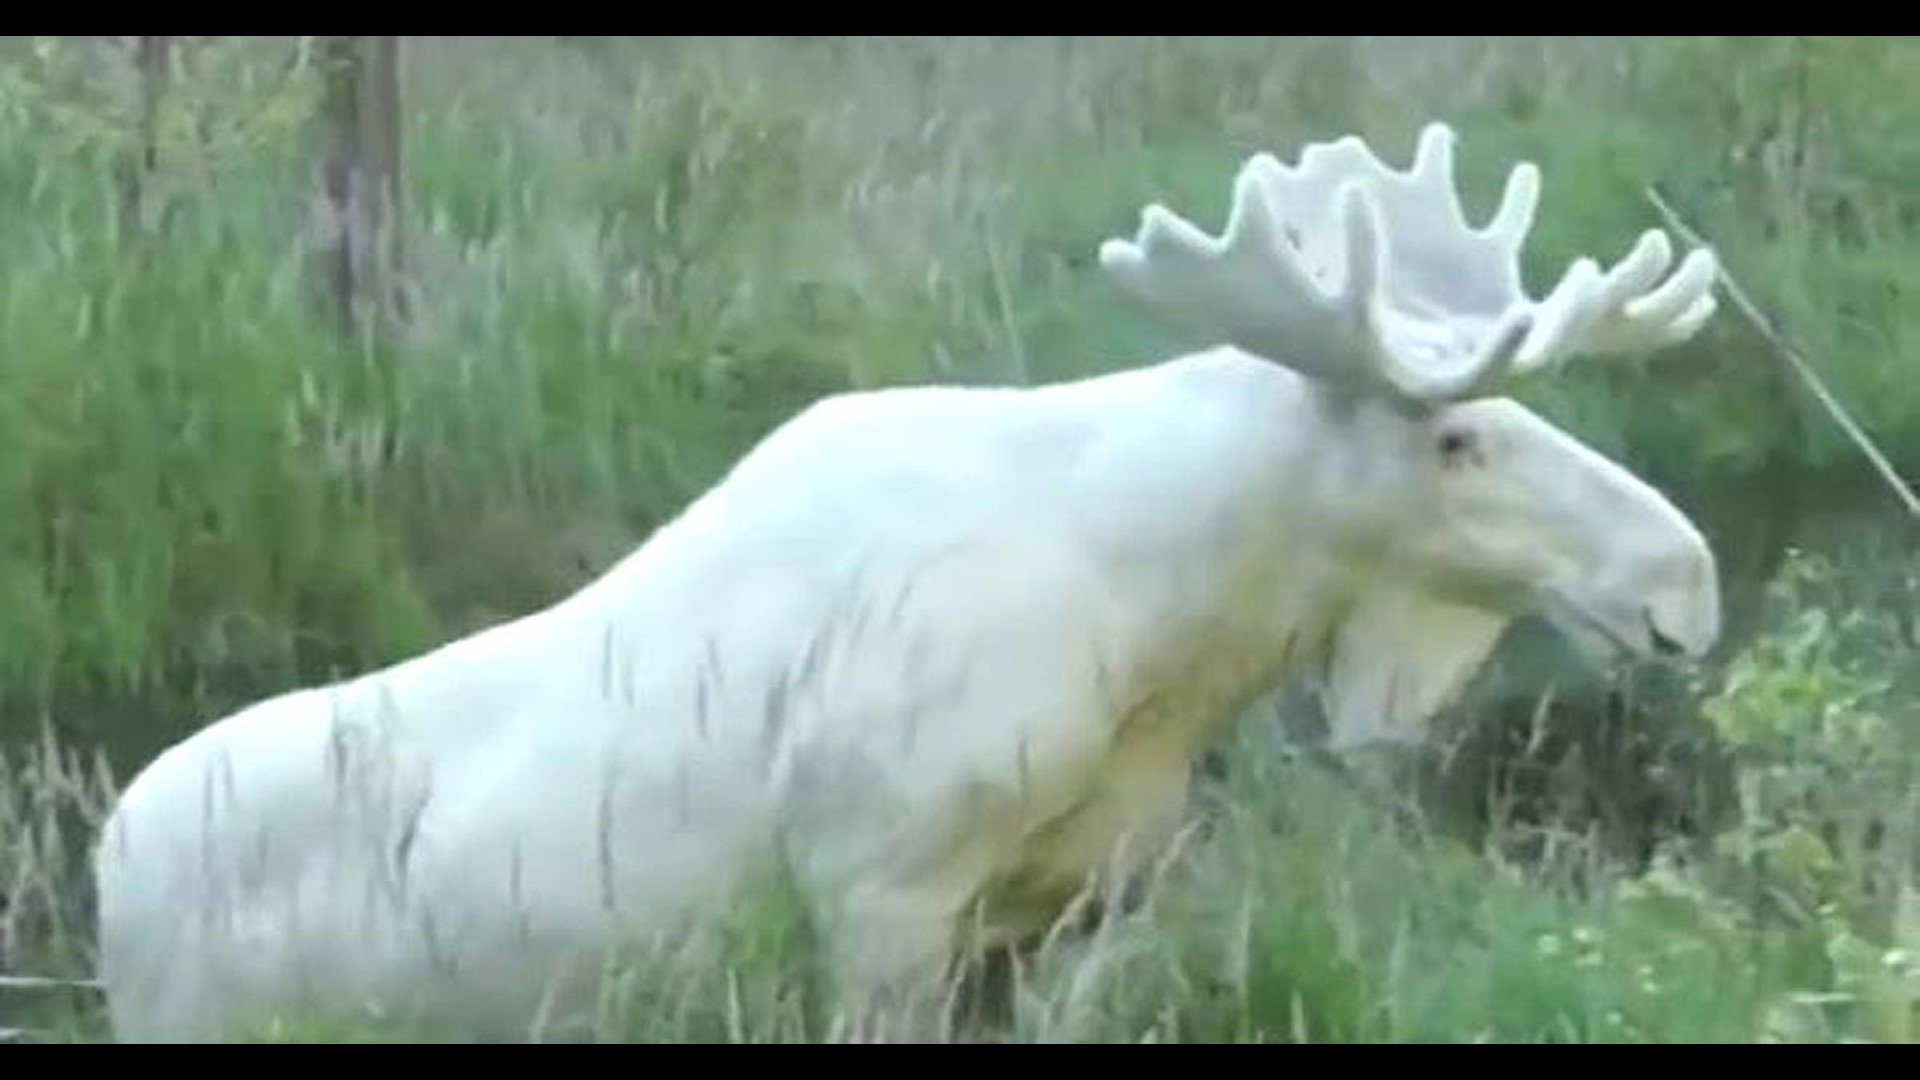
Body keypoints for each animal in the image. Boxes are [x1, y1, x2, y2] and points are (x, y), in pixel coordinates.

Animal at [90, 121, 1722, 1042]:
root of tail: (104, 865)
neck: (1166, 638)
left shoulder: (1075, 911)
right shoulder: (878, 893)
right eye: (1457, 435)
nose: (1684, 576)